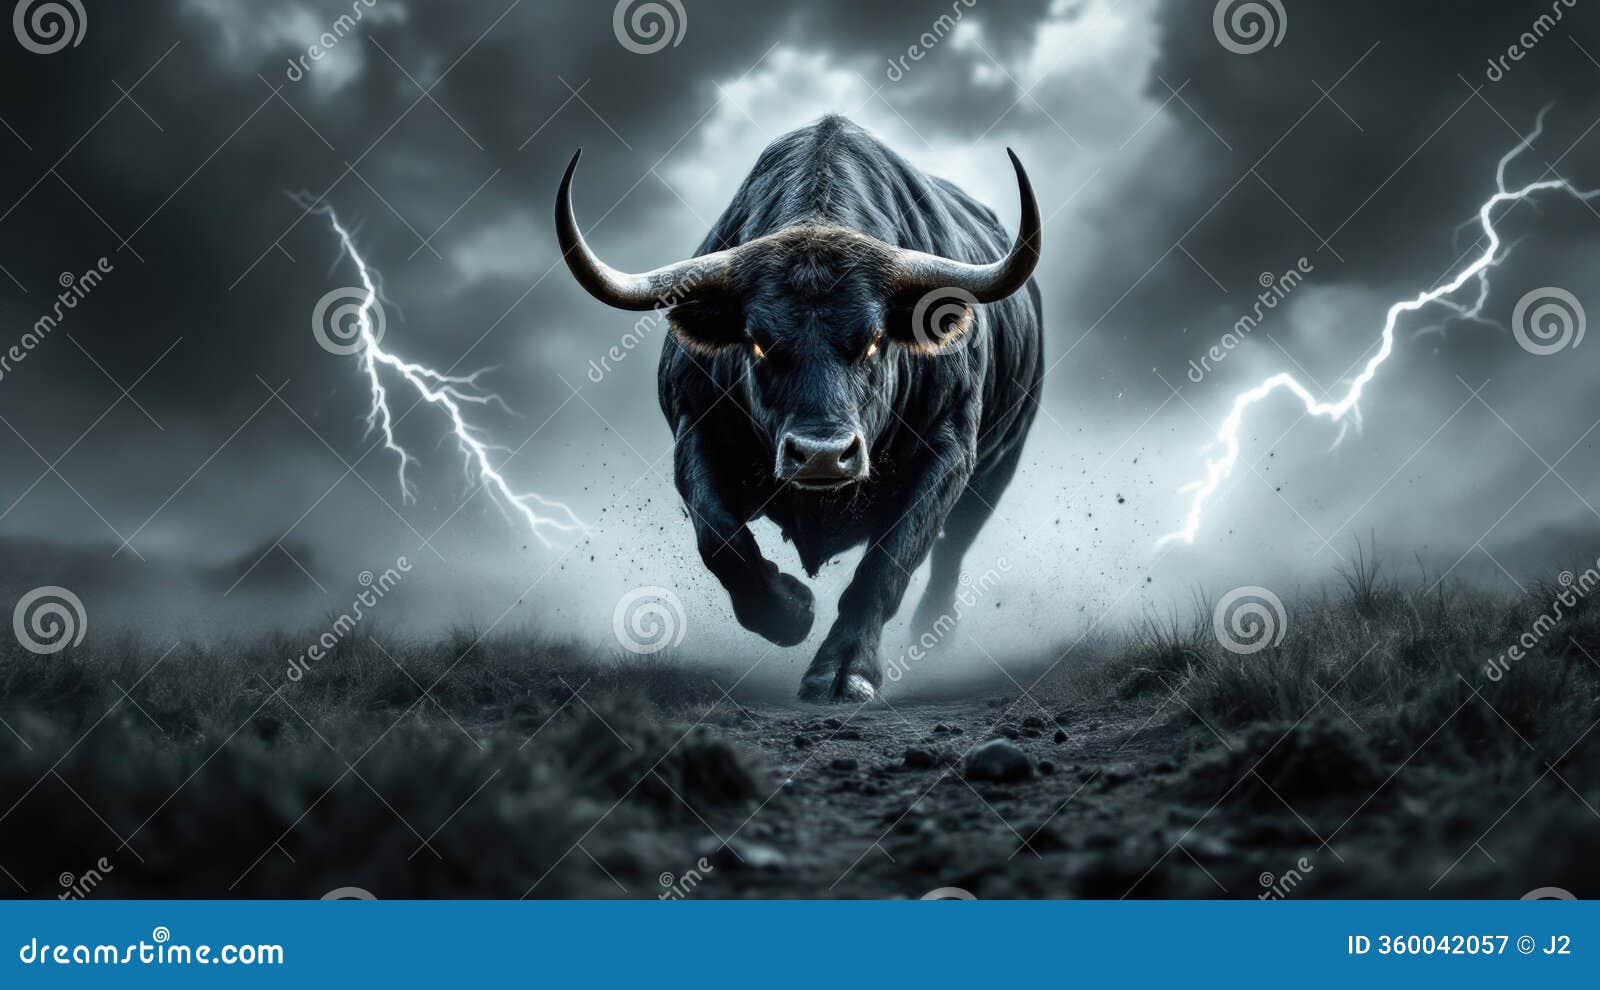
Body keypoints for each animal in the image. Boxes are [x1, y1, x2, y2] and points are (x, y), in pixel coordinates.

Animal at [556, 115, 1042, 703]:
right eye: (759, 342)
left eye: (875, 340)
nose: (821, 454)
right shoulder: (693, 431)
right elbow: (721, 540)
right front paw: (791, 610)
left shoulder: (948, 454)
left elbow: (888, 563)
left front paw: (845, 670)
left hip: (996, 468)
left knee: (951, 552)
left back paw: (934, 633)